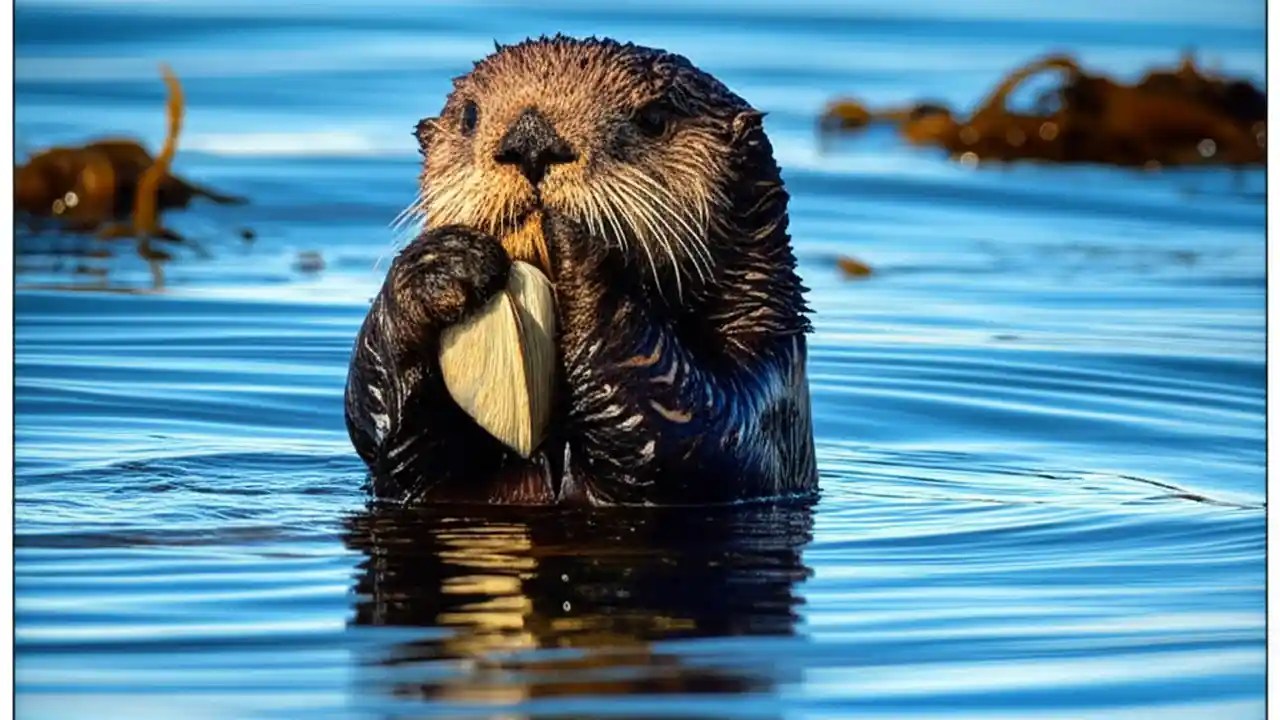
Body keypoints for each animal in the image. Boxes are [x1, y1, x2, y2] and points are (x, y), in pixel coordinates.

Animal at [344, 35, 816, 505]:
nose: (531, 140)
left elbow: (696, 425)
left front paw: (575, 237)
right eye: (470, 115)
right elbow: (396, 441)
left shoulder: (767, 388)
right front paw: (440, 263)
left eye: (654, 118)